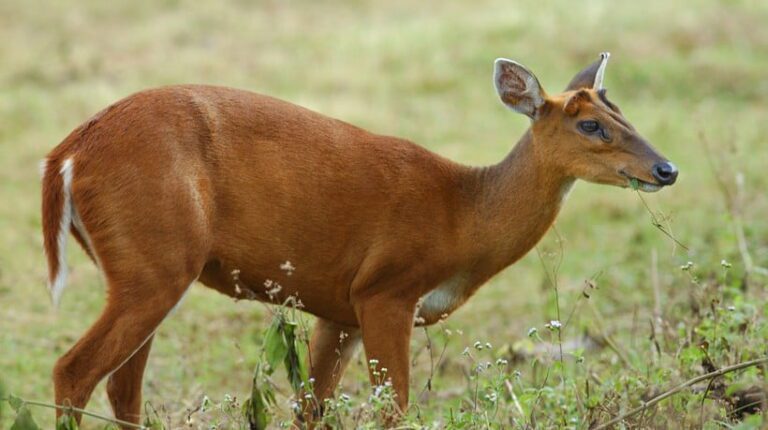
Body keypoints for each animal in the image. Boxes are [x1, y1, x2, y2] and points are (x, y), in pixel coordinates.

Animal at [41, 52, 678, 427]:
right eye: (590, 124)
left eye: (623, 113)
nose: (666, 169)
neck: (462, 214)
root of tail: (65, 155)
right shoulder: (385, 289)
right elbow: (393, 409)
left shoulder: (337, 308)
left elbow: (311, 409)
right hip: (156, 261)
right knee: (74, 371)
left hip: (147, 269)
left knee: (121, 385)